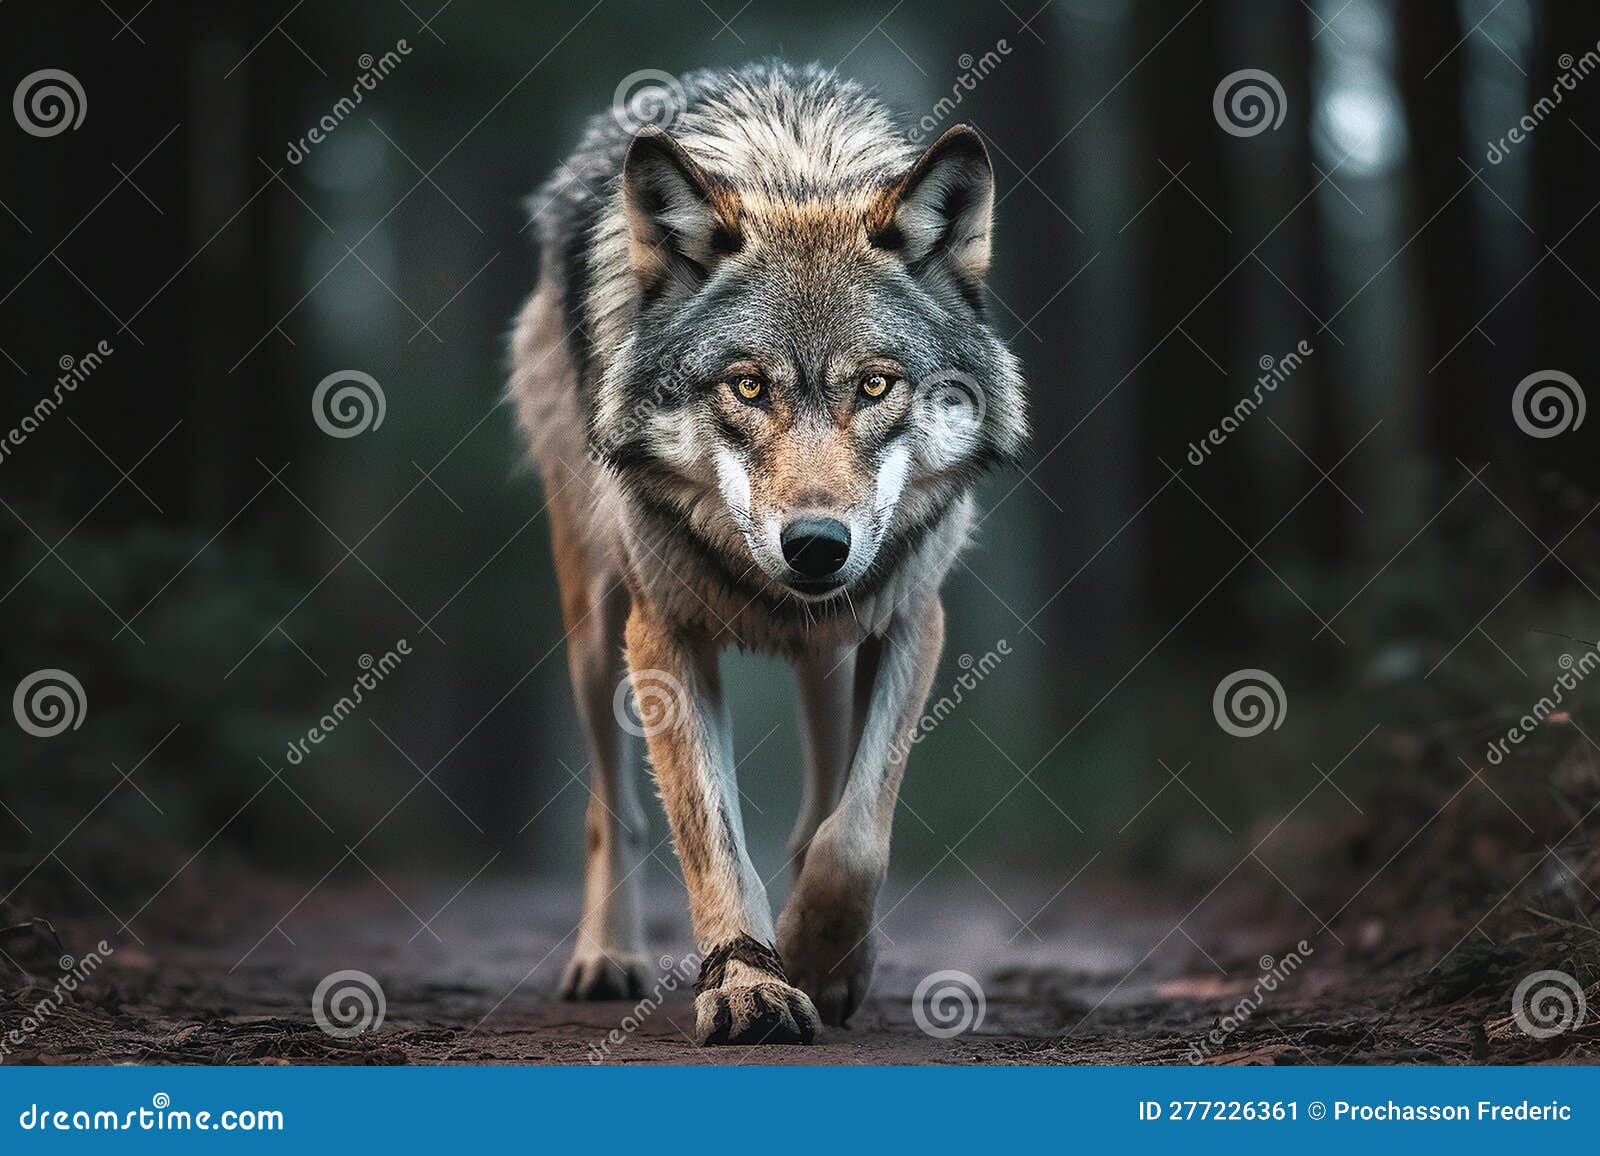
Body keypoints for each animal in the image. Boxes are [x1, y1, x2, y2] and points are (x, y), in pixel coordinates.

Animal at [510, 61, 1026, 1045]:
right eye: (748, 386)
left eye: (876, 386)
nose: (816, 547)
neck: (797, 173)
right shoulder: (663, 637)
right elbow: (711, 838)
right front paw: (750, 982)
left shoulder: (913, 618)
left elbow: (855, 836)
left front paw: (820, 956)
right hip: (594, 636)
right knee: (611, 814)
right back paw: (607, 955)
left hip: (830, 648)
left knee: (824, 801)